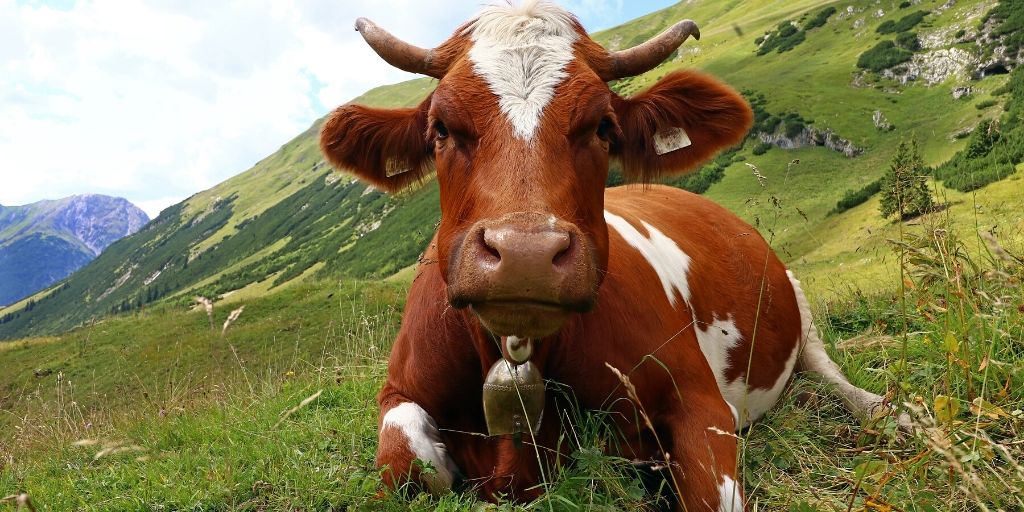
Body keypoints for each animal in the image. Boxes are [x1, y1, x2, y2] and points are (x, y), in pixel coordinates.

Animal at [319, 2, 899, 510]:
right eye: (440, 128)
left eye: (603, 127)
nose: (526, 255)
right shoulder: (398, 392)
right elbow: (406, 450)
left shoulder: (702, 403)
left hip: (795, 293)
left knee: (824, 366)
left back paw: (885, 413)